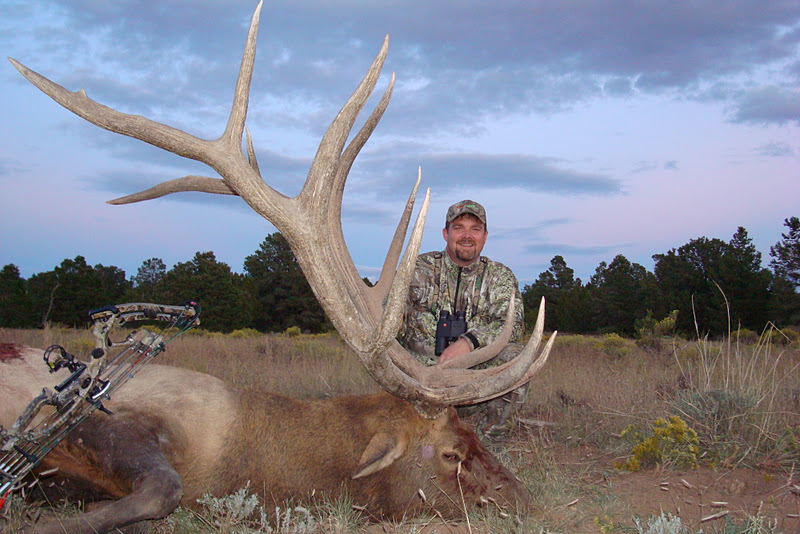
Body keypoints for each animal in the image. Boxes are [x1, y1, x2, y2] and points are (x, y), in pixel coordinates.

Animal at [2, 2, 556, 533]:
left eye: (474, 432)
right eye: (451, 454)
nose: (527, 501)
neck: (243, 458)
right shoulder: (111, 416)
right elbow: (160, 488)